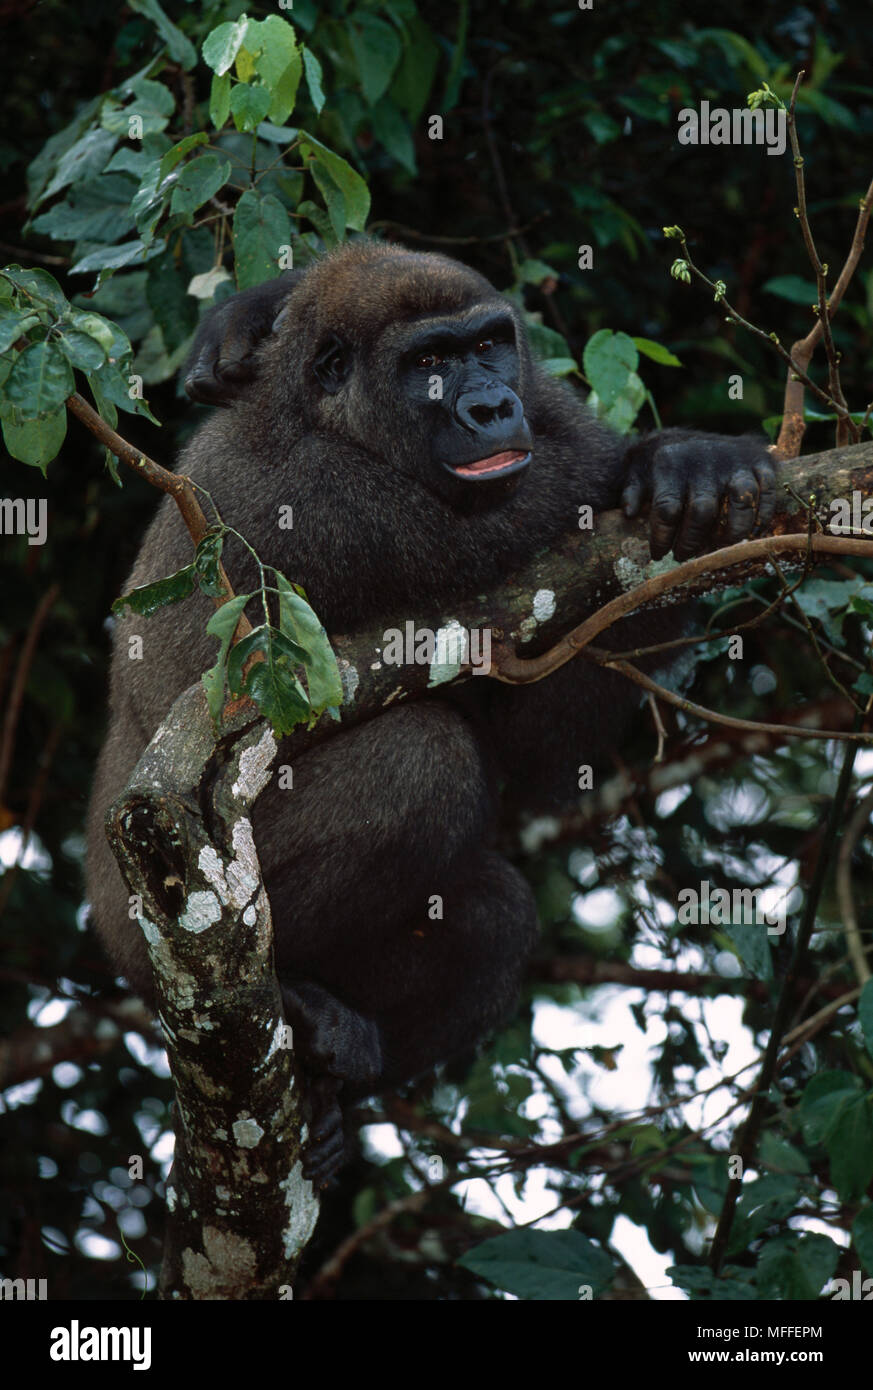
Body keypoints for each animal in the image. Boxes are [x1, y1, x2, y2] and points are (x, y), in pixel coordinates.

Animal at [86, 240, 778, 1181]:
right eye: (427, 366)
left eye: (486, 347)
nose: (492, 405)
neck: (322, 414)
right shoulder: (330, 500)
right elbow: (565, 491)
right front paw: (673, 455)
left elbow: (535, 741)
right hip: (147, 937)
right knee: (422, 763)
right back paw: (293, 995)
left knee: (492, 913)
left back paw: (341, 1076)